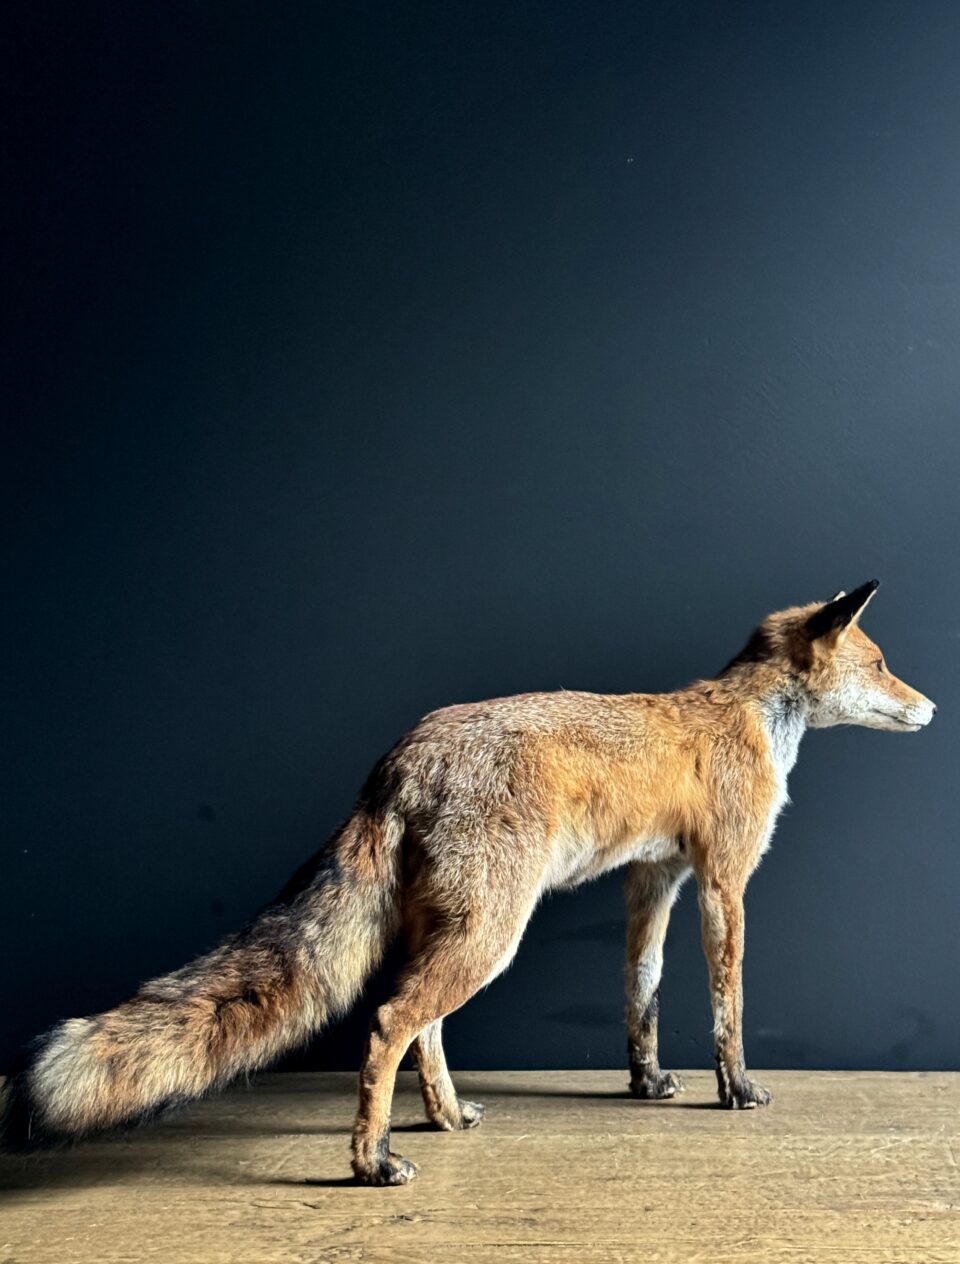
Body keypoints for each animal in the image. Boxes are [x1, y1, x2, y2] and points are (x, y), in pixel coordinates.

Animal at [1, 580, 936, 1184]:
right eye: (882, 664)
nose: (930, 709)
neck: (747, 717)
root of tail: (401, 754)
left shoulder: (654, 878)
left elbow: (641, 992)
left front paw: (647, 1084)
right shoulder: (724, 880)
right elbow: (727, 1004)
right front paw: (735, 1090)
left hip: (455, 928)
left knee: (425, 1028)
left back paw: (446, 1116)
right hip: (493, 930)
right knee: (389, 1022)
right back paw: (371, 1160)